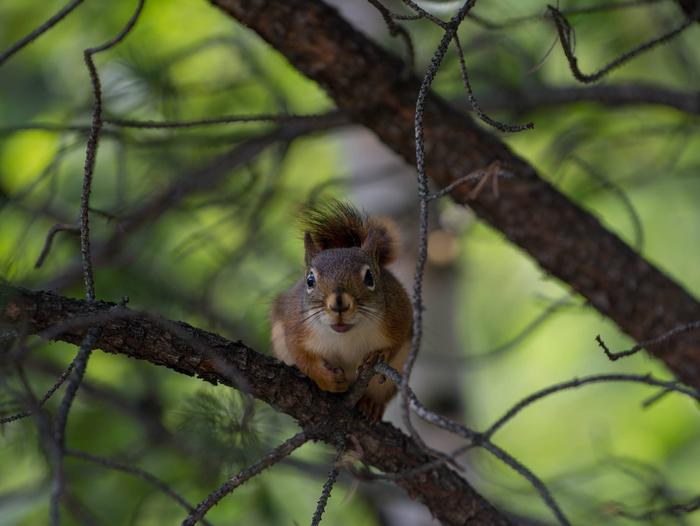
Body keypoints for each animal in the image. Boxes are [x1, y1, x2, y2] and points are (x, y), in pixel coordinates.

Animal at [270, 200, 412, 422]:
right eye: (310, 280)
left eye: (369, 277)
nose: (339, 304)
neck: (345, 335)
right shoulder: (293, 326)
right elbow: (301, 356)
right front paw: (327, 379)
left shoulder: (400, 314)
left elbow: (396, 341)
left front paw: (378, 355)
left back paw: (371, 403)